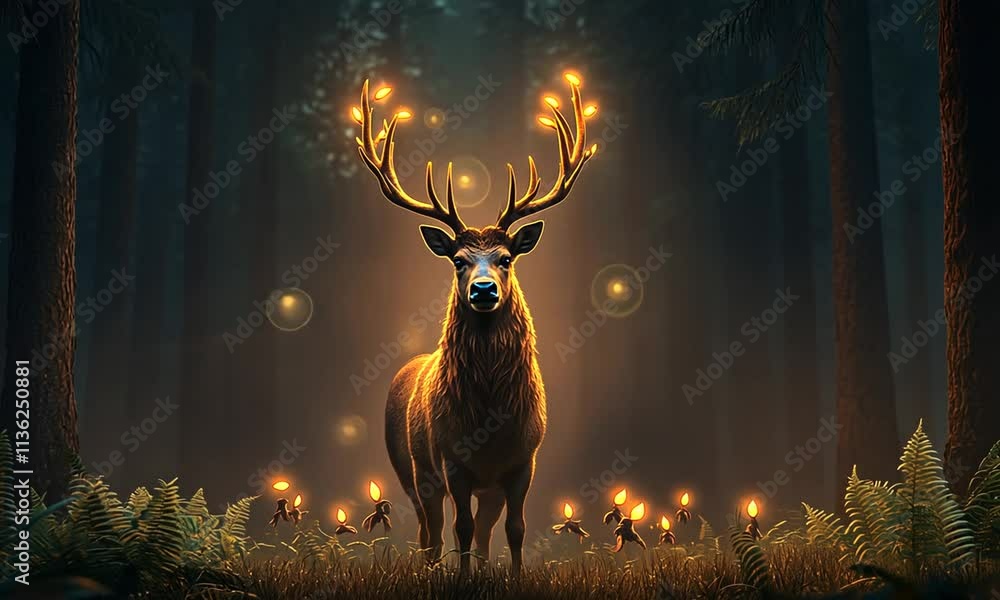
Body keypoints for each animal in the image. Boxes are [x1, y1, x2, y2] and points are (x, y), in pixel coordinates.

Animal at [353, 72, 598, 575]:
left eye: (506, 258)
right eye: (458, 261)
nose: (483, 290)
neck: (488, 417)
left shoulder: (524, 461)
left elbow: (514, 529)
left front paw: (512, 577)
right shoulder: (451, 460)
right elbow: (459, 529)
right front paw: (462, 579)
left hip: (483, 486)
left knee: (482, 529)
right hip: (411, 468)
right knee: (430, 531)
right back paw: (431, 570)